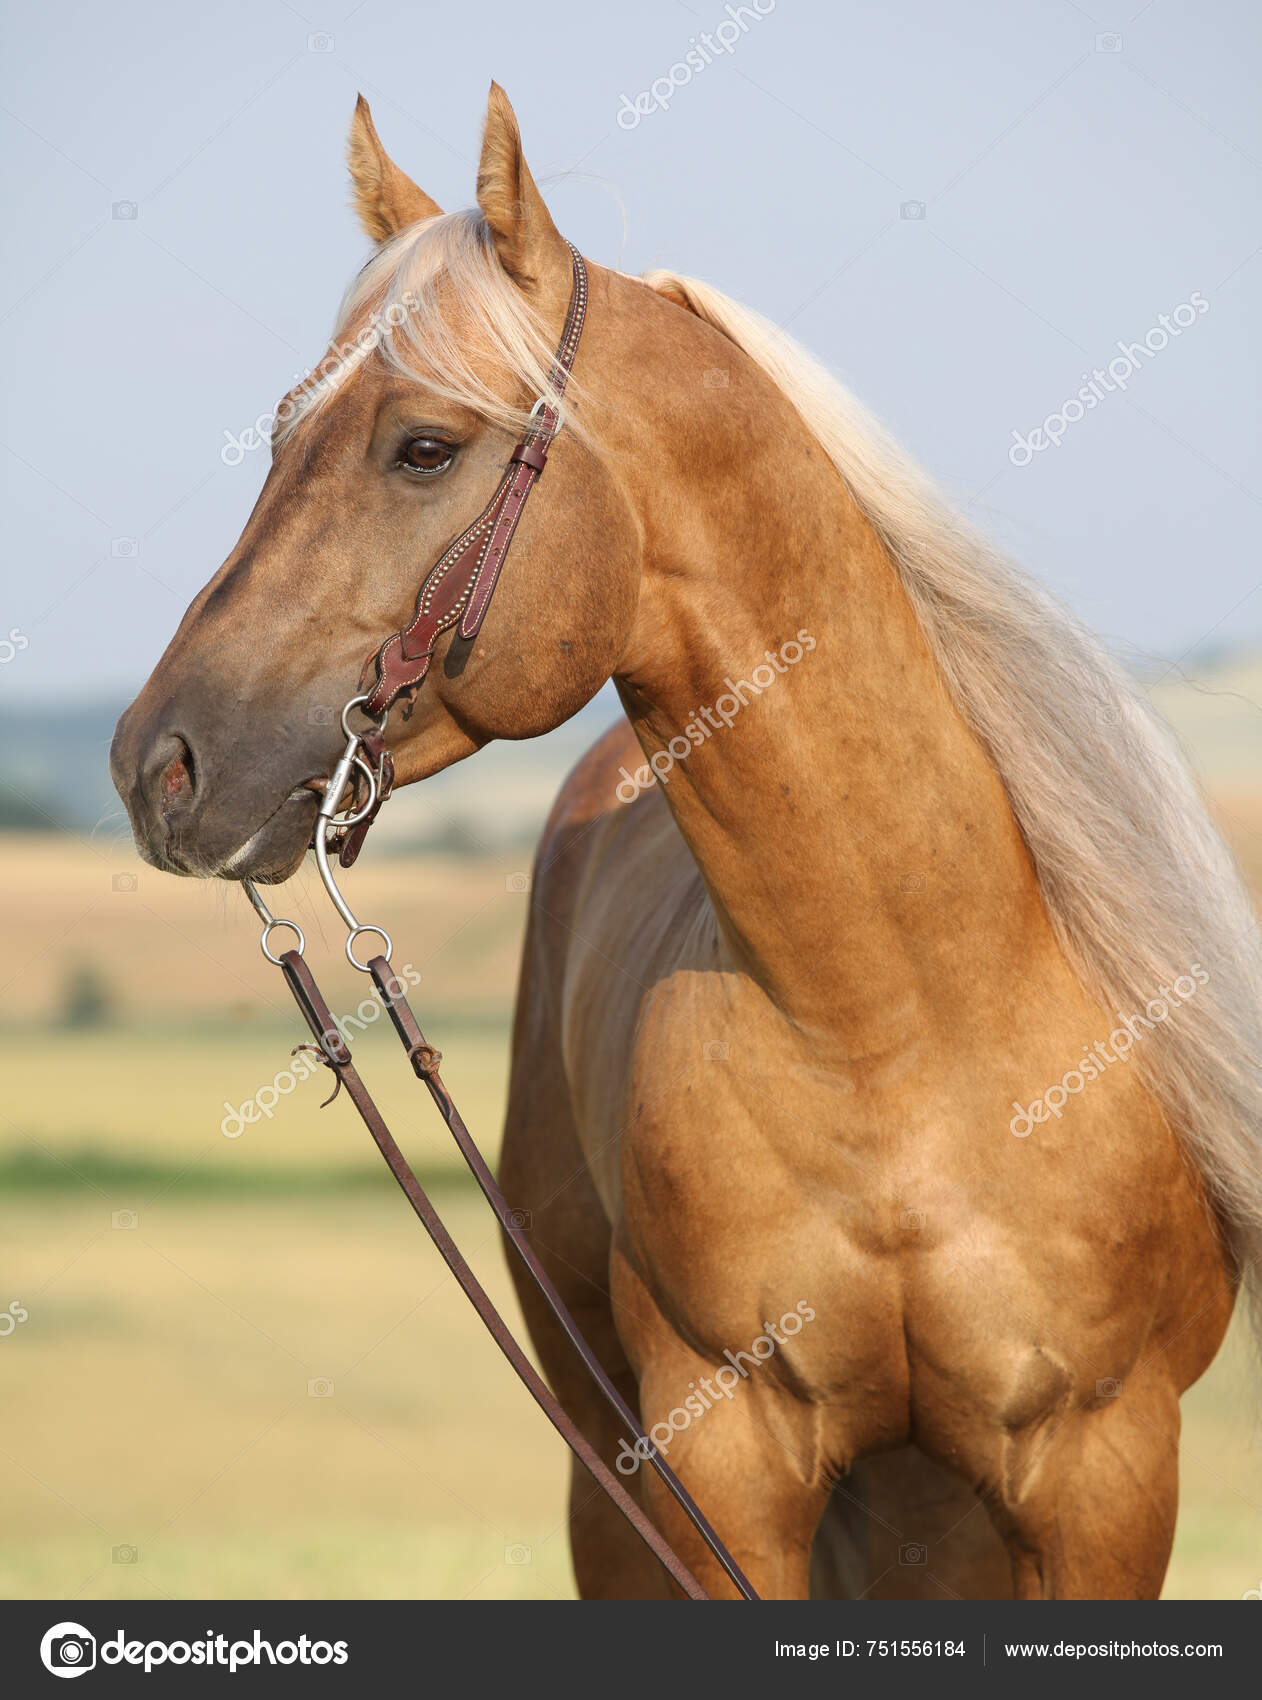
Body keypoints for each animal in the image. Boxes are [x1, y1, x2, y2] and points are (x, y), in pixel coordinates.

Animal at [111, 85, 1262, 1600]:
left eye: (423, 444)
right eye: (282, 431)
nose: (157, 765)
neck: (899, 1024)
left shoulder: (1101, 1479)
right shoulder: (720, 1465)